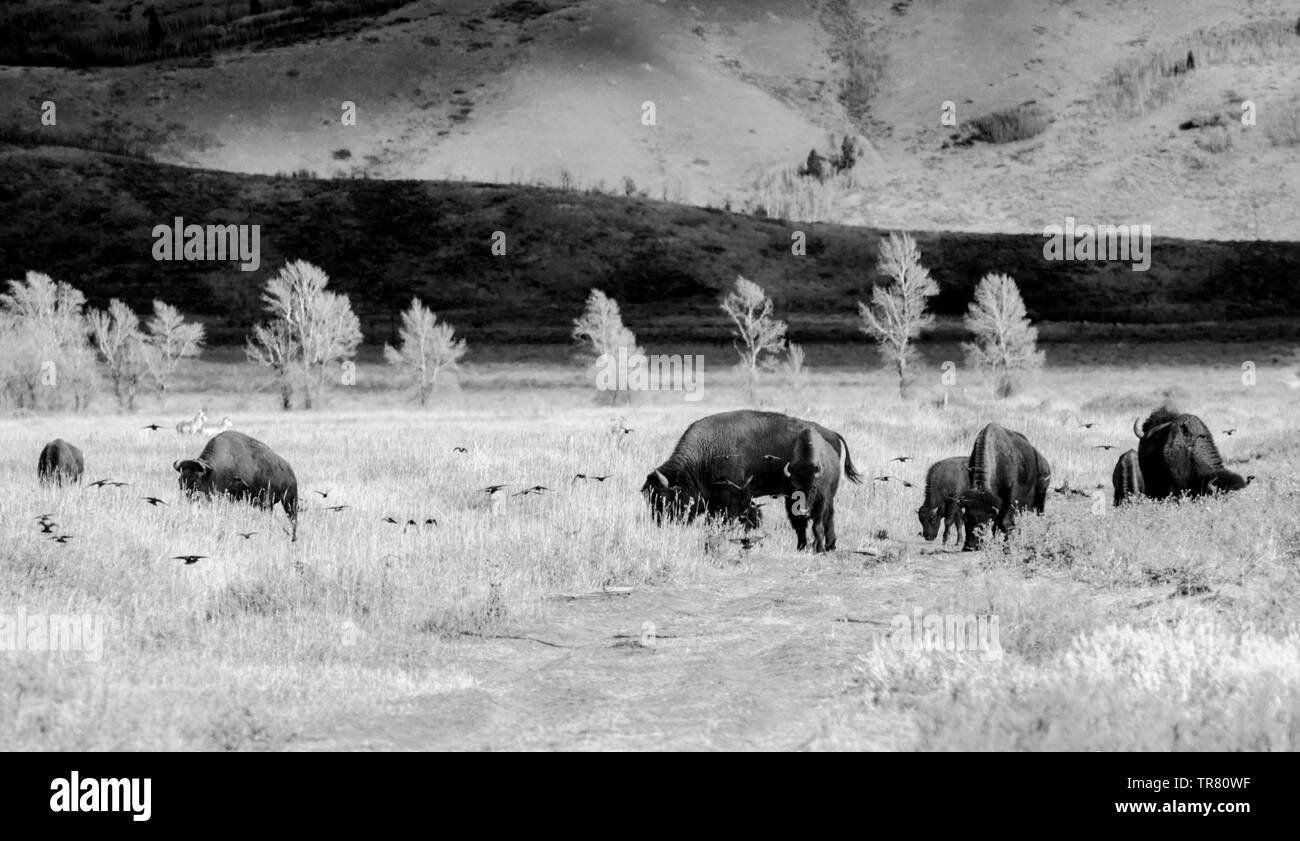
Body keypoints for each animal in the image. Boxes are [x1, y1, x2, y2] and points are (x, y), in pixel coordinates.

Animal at [642, 410, 861, 546]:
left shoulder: (734, 498)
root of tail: (831, 433)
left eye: (663, 499)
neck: (704, 456)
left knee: (827, 513)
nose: (660, 525)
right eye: (650, 499)